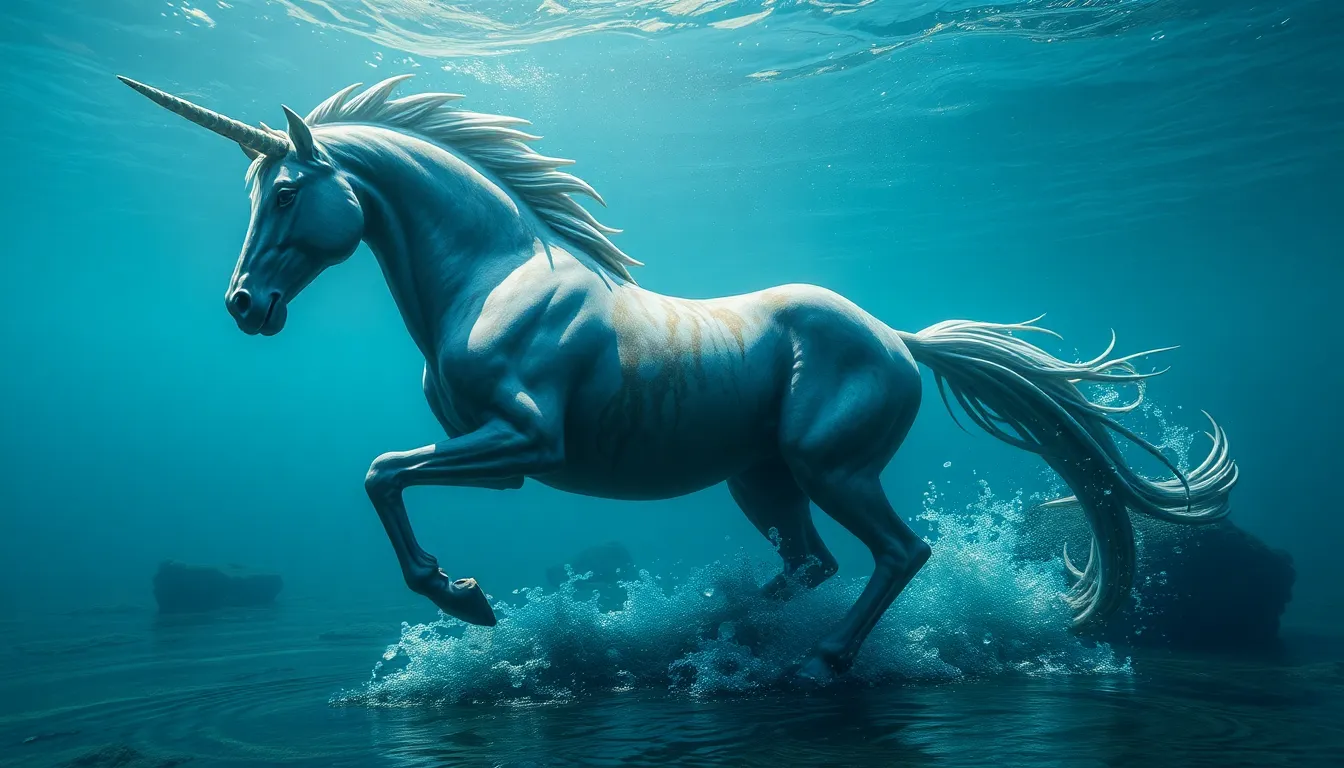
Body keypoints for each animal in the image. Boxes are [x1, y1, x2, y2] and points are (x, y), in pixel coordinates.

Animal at [118, 74, 1237, 684]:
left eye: (286, 191)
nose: (245, 306)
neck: (494, 274)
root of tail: (897, 335)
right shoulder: (500, 458)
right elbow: (386, 472)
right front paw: (473, 600)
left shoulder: (524, 442)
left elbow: (380, 471)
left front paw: (465, 600)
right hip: (759, 477)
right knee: (810, 563)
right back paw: (710, 637)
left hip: (831, 468)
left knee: (898, 553)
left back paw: (818, 659)